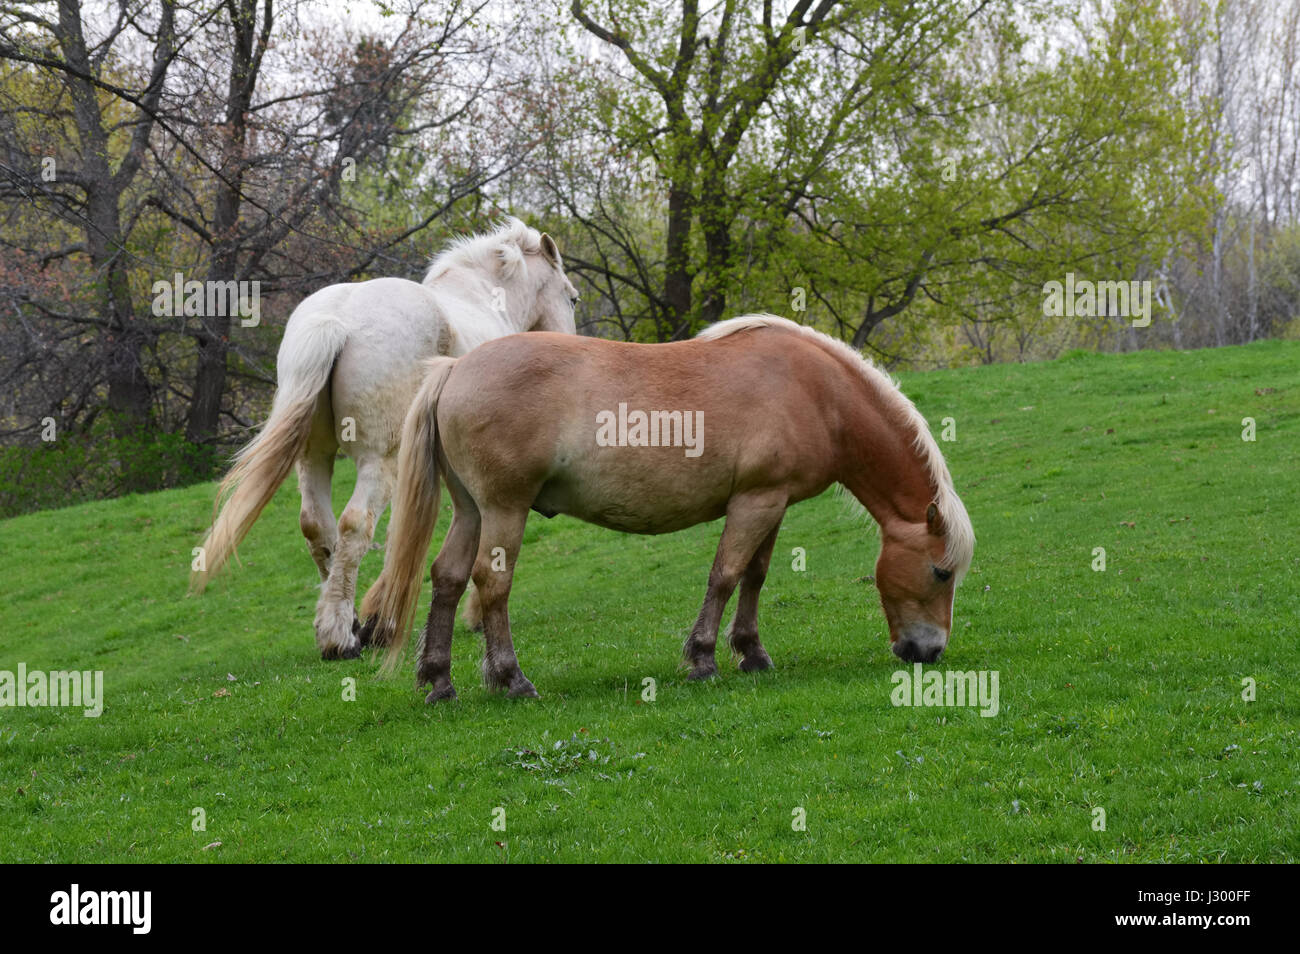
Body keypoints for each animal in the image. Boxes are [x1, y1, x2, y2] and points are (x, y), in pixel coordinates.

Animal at [191, 218, 579, 660]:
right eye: (572, 298)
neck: (485, 297)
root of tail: (336, 321)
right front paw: (467, 614)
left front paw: (381, 615)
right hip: (379, 461)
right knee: (354, 524)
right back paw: (340, 636)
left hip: (315, 456)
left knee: (317, 526)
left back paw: (348, 623)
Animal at [359, 314, 975, 702]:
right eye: (940, 572)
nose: (929, 652)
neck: (816, 392)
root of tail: (454, 370)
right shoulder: (755, 501)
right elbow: (725, 575)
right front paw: (702, 658)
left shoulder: (772, 504)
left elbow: (754, 576)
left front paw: (751, 653)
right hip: (504, 510)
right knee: (491, 584)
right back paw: (511, 680)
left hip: (471, 512)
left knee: (447, 578)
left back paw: (439, 681)